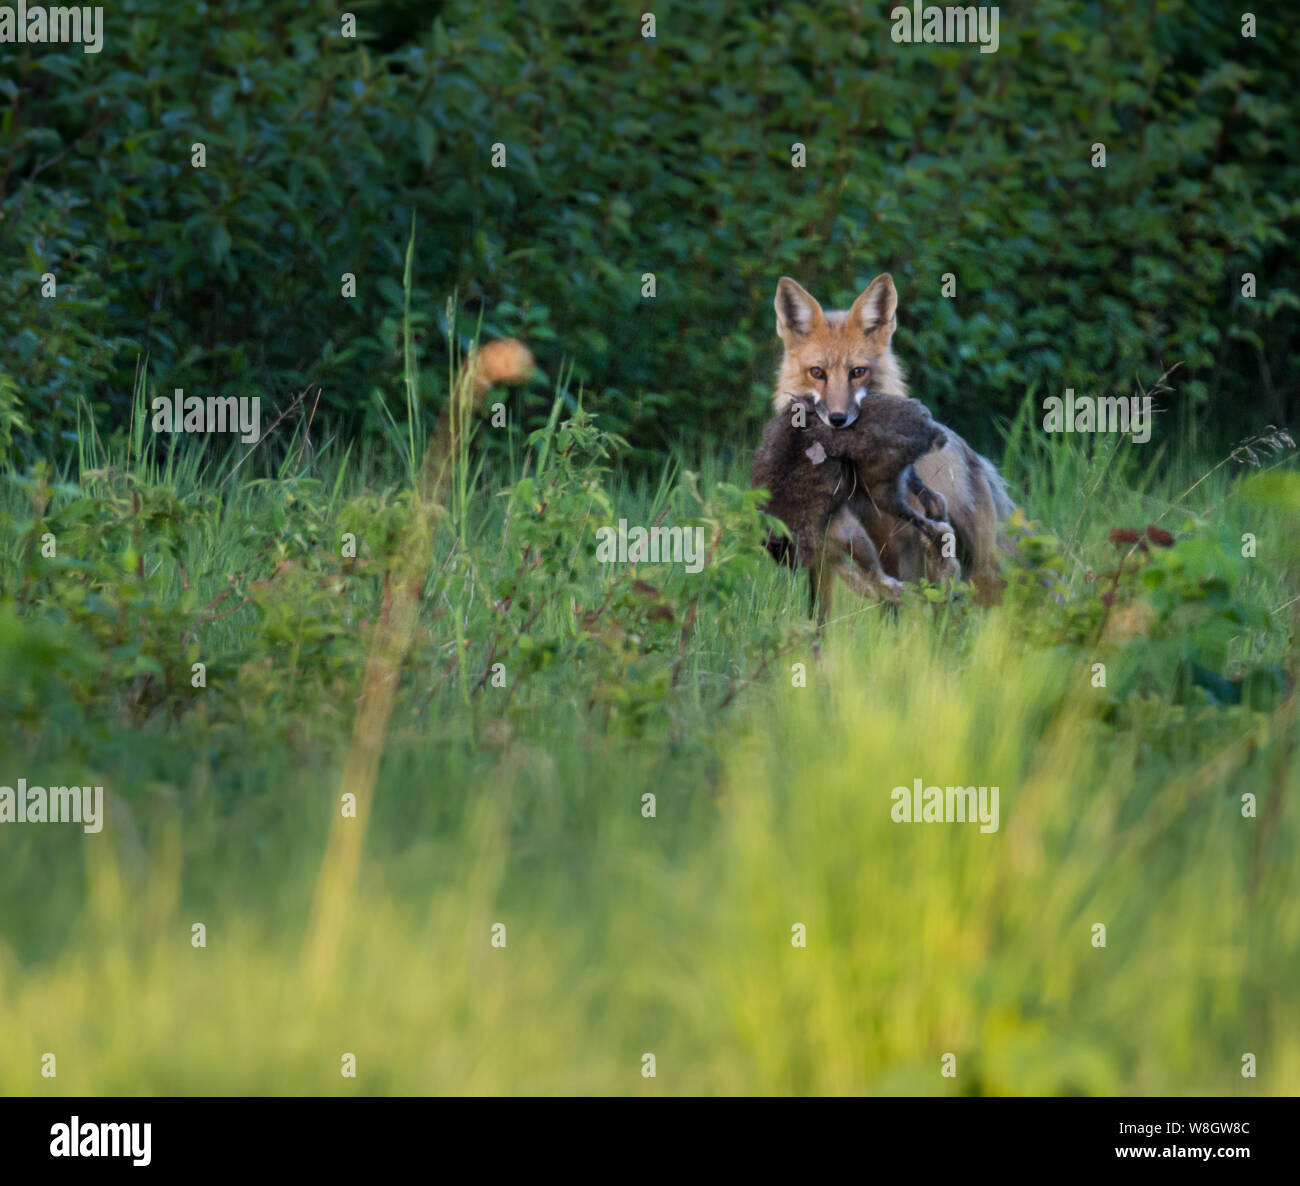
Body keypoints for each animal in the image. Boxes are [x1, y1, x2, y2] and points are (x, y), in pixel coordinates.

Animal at [753, 391, 959, 616]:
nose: (793, 564)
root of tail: (928, 426)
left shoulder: (835, 534)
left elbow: (870, 569)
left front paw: (901, 596)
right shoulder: (829, 549)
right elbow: (860, 579)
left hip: (881, 486)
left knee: (935, 527)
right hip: (897, 479)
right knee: (936, 506)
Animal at [771, 273, 1015, 610]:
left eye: (858, 372)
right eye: (817, 372)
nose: (837, 419)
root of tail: (977, 459)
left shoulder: (897, 547)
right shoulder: (826, 554)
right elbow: (820, 614)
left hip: (973, 564)